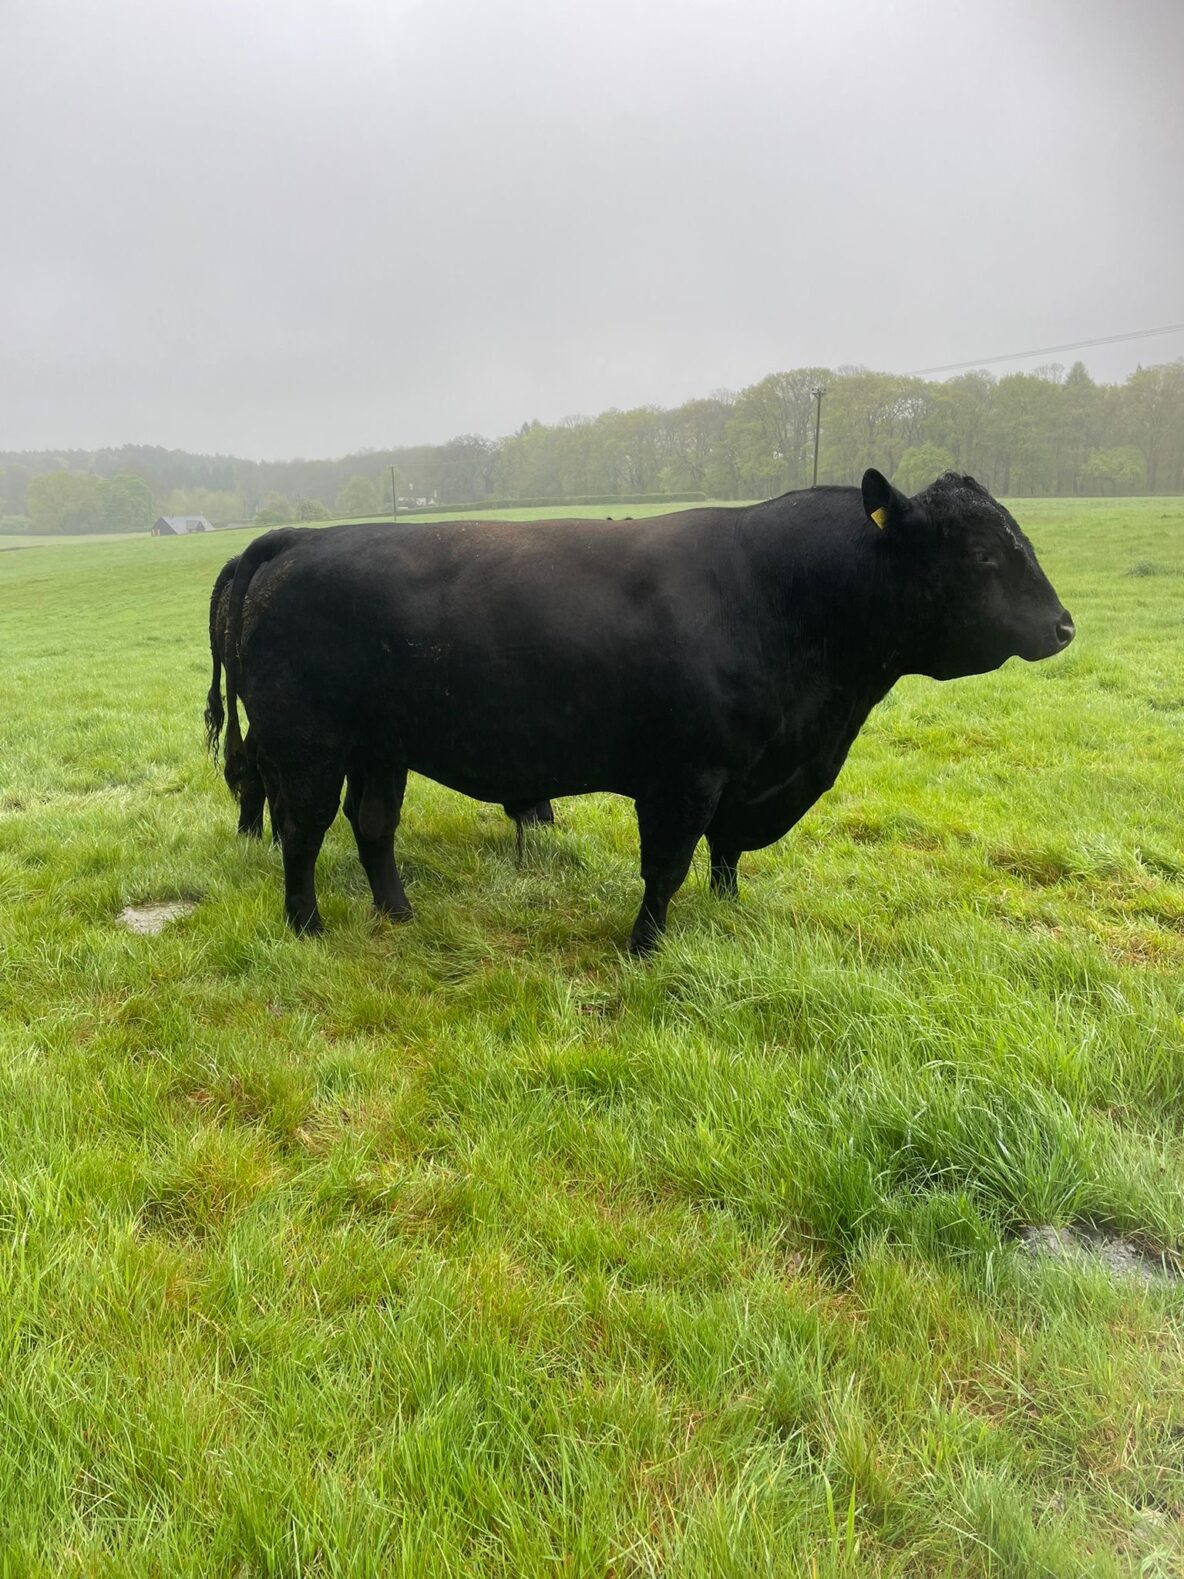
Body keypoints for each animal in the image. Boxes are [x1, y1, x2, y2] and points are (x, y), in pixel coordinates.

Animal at [210, 471, 1074, 951]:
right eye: (984, 554)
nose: (1063, 626)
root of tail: (301, 539)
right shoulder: (686, 774)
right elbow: (669, 864)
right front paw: (645, 946)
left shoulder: (742, 775)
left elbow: (725, 853)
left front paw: (725, 911)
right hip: (307, 745)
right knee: (303, 830)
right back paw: (308, 926)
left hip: (380, 746)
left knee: (374, 827)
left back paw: (398, 915)